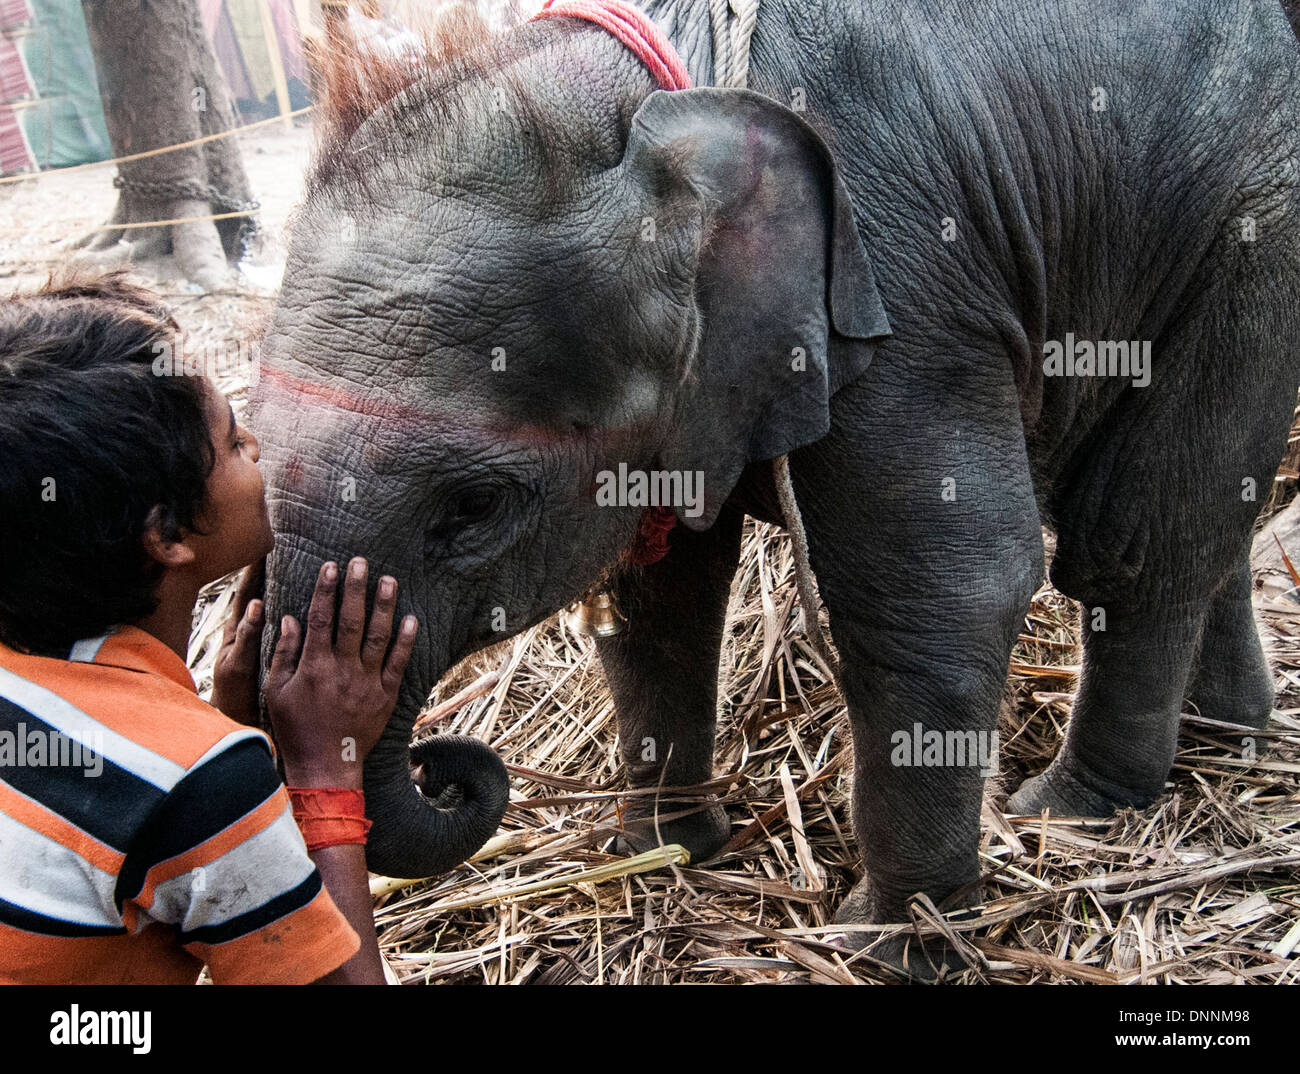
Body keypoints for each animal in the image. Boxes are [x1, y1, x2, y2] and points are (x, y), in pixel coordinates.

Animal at [252, 0, 1300, 933]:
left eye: (472, 506)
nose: (448, 767)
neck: (657, 109)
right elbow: (658, 599)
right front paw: (666, 853)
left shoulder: (899, 283)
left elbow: (951, 589)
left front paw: (891, 942)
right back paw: (1231, 739)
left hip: (1254, 234)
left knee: (1134, 535)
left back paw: (1074, 810)